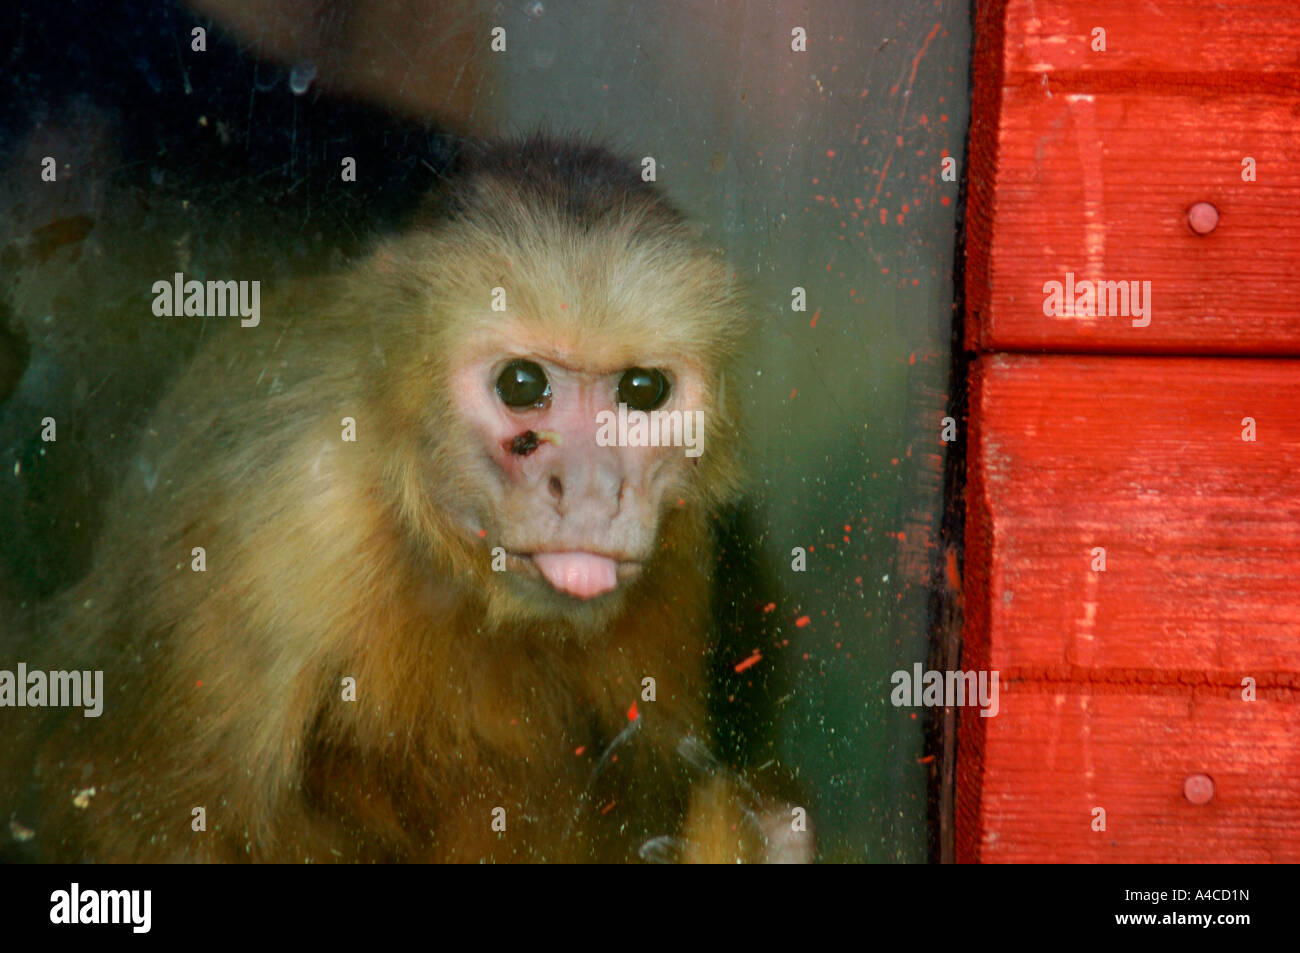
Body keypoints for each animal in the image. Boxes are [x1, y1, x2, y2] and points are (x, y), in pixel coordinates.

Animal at [0, 134, 807, 863]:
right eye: (522, 384)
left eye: (643, 390)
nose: (590, 487)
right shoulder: (292, 519)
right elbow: (126, 800)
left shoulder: (681, 548)